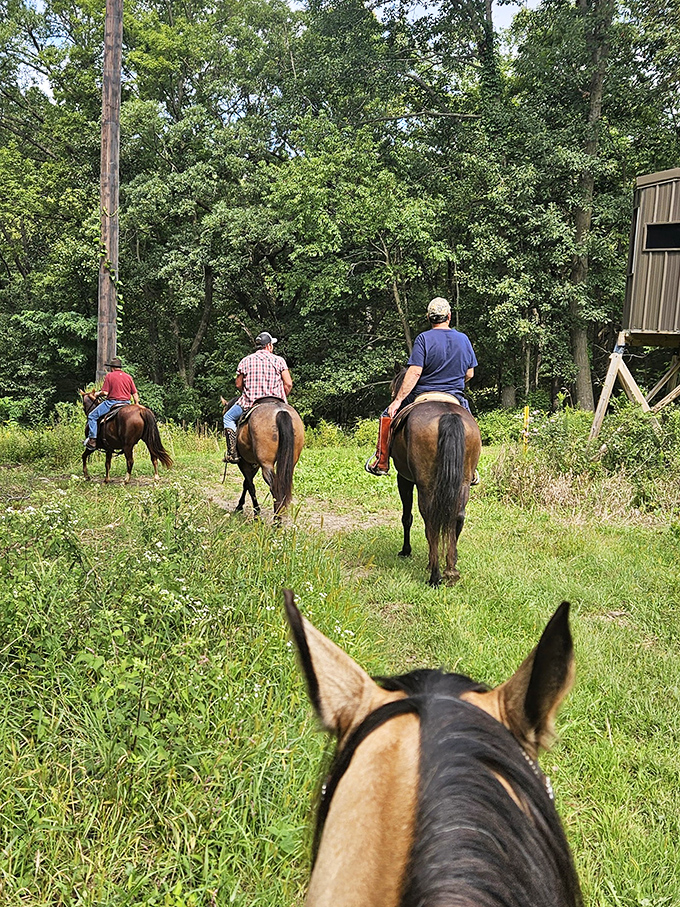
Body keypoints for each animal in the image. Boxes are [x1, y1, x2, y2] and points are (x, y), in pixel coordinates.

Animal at [388, 365, 482, 586]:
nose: (393, 400)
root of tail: (448, 415)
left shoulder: (404, 479)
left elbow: (407, 517)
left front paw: (406, 551)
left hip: (425, 485)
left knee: (430, 518)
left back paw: (435, 574)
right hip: (463, 483)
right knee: (457, 516)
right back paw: (451, 569)